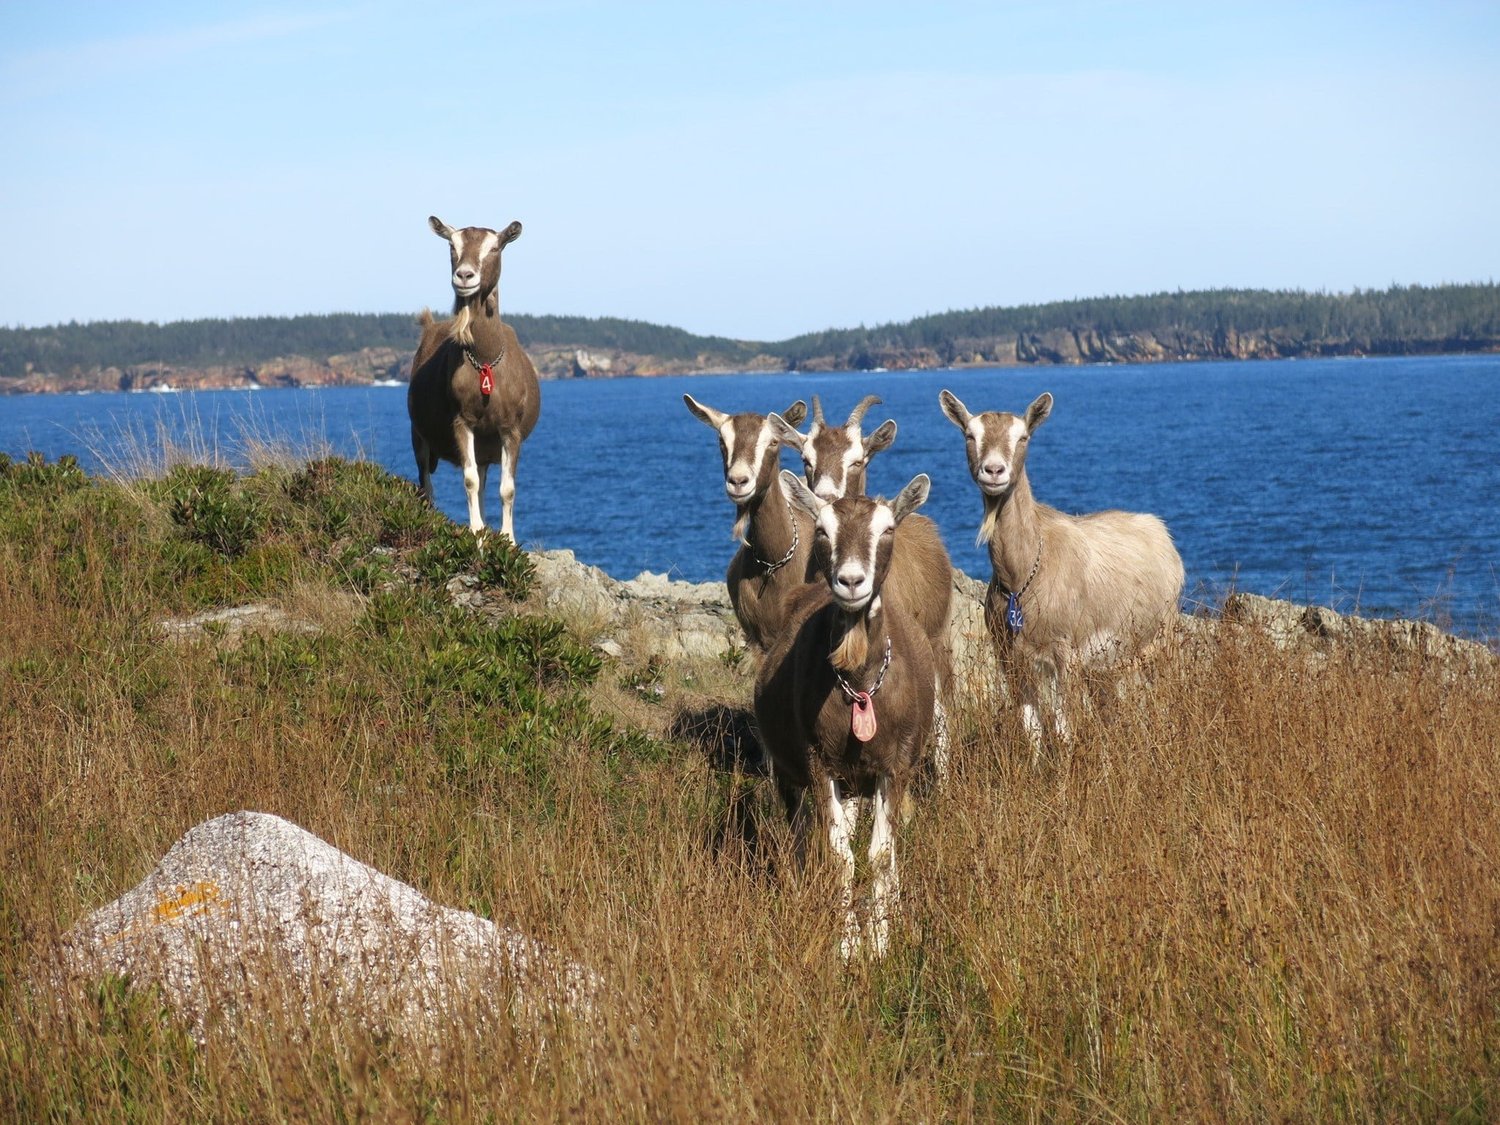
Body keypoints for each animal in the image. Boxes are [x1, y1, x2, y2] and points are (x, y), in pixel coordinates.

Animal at [408, 215, 541, 540]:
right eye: (451, 246)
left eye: (494, 247)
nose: (464, 275)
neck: (485, 362)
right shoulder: (461, 420)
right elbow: (469, 480)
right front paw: (477, 533)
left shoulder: (510, 428)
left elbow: (507, 489)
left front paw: (507, 538)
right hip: (418, 433)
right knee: (425, 481)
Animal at [755, 470, 937, 958]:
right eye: (822, 530)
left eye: (888, 529)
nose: (851, 581)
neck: (860, 686)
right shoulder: (819, 762)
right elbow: (839, 855)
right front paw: (848, 945)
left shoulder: (896, 764)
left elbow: (880, 853)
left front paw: (881, 940)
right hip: (795, 772)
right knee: (800, 836)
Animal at [938, 389, 1184, 759]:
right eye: (970, 435)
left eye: (1023, 437)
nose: (993, 470)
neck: (1021, 578)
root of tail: (1161, 532)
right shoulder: (1011, 659)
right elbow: (1032, 728)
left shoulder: (1064, 652)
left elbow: (1064, 727)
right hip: (1108, 663)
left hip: (1160, 637)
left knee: (1162, 700)